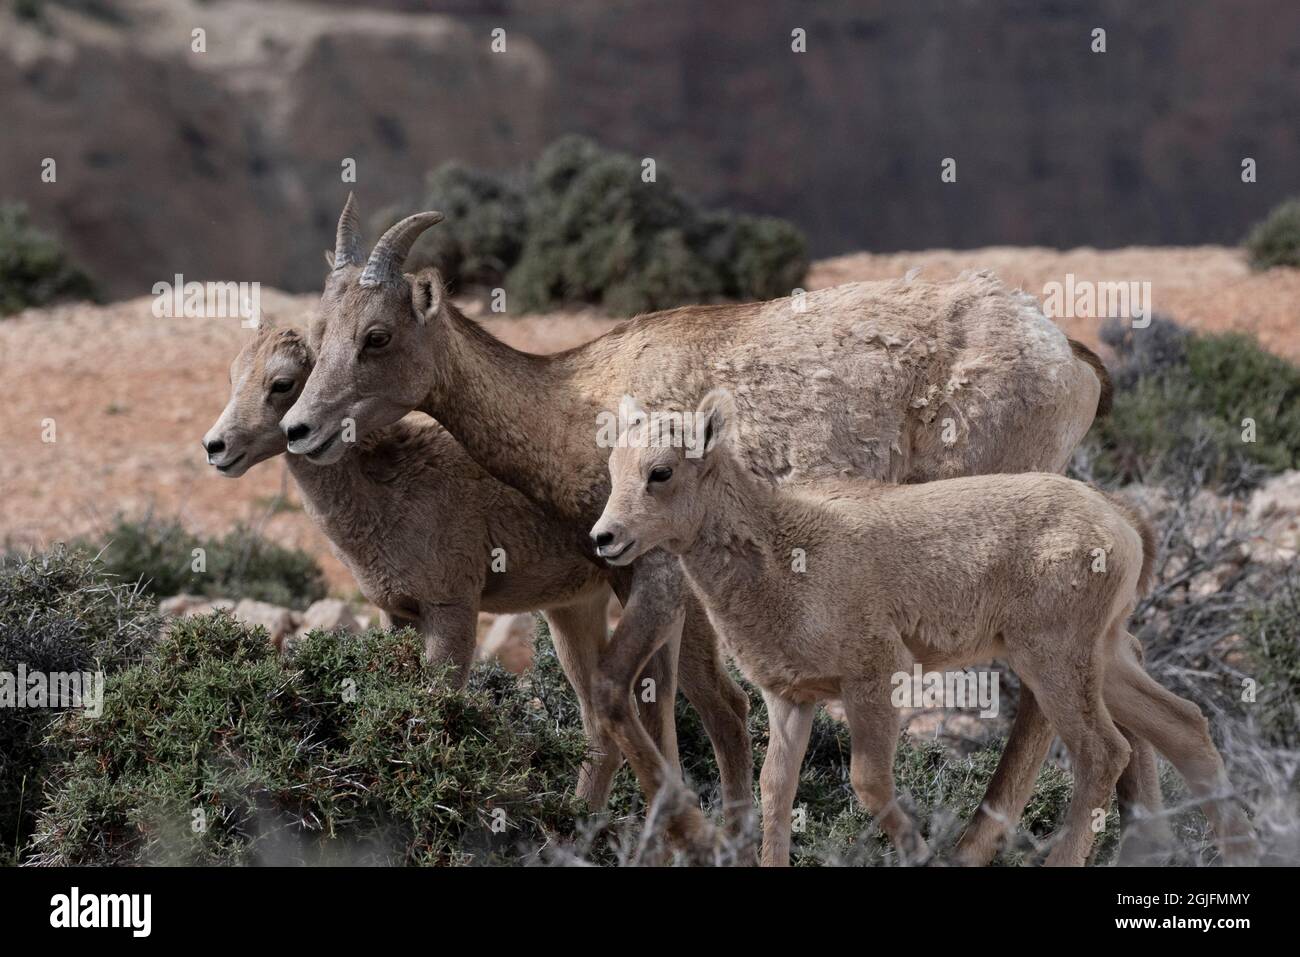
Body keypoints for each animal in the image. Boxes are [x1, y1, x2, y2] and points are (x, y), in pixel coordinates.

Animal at [589, 388, 1259, 866]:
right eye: (615, 467)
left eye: (661, 472)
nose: (605, 538)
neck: (785, 556)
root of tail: (1120, 524)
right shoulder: (790, 700)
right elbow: (775, 790)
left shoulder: (877, 677)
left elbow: (868, 783)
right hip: (1105, 656)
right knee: (1185, 726)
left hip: (1054, 661)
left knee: (1103, 752)